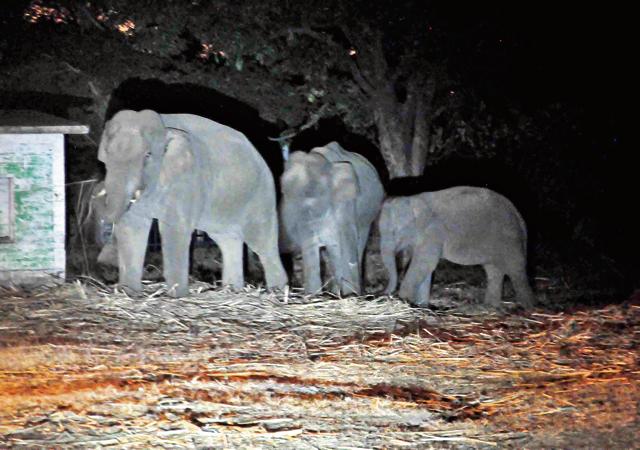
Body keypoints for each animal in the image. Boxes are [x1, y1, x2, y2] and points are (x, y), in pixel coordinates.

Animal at [98, 109, 287, 297]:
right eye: (106, 155)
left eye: (147, 155)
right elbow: (132, 226)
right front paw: (130, 293)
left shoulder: (187, 179)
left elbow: (174, 229)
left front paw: (176, 296)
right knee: (227, 240)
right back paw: (231, 291)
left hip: (260, 196)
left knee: (262, 243)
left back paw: (277, 293)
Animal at [280, 142, 385, 295]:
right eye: (285, 196)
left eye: (317, 199)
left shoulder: (345, 204)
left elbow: (346, 244)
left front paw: (350, 295)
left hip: (368, 217)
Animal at [378, 186, 535, 309]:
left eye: (395, 232)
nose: (384, 295)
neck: (414, 200)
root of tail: (519, 217)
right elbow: (426, 267)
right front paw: (421, 306)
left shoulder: (433, 233)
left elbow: (425, 263)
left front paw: (404, 300)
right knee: (493, 270)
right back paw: (490, 306)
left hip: (510, 240)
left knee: (516, 270)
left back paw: (528, 307)